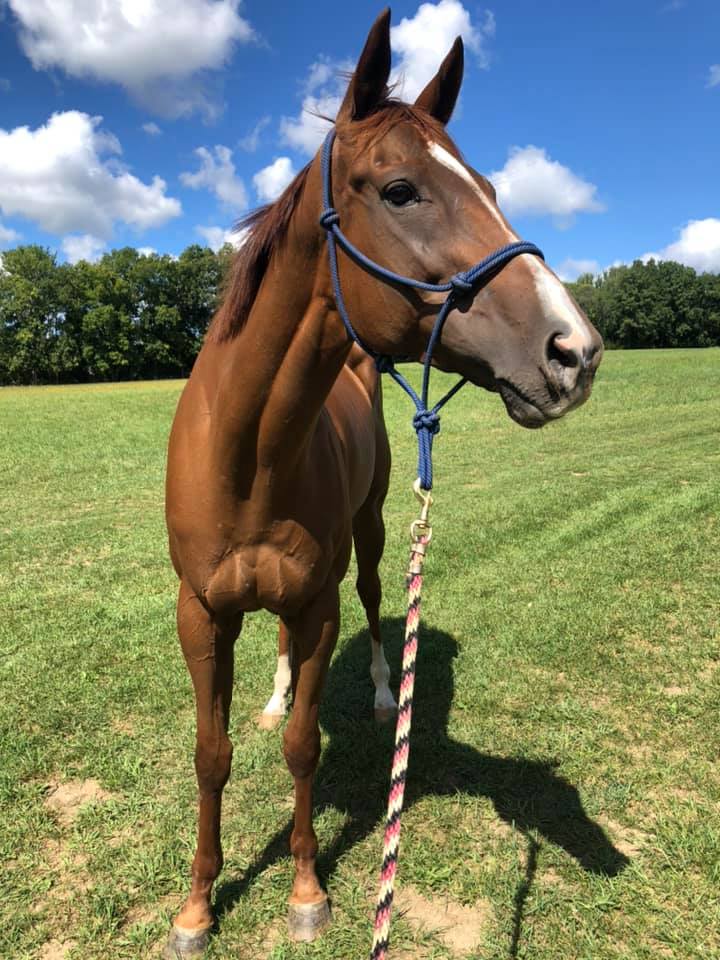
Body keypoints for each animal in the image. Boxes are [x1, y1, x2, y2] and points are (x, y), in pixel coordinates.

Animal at [163, 10, 603, 956]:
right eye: (401, 190)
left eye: (491, 184)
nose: (575, 351)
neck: (248, 456)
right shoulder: (201, 613)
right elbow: (211, 755)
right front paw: (197, 905)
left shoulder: (318, 601)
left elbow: (303, 749)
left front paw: (304, 893)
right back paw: (276, 691)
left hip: (365, 539)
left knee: (371, 601)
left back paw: (370, 693)